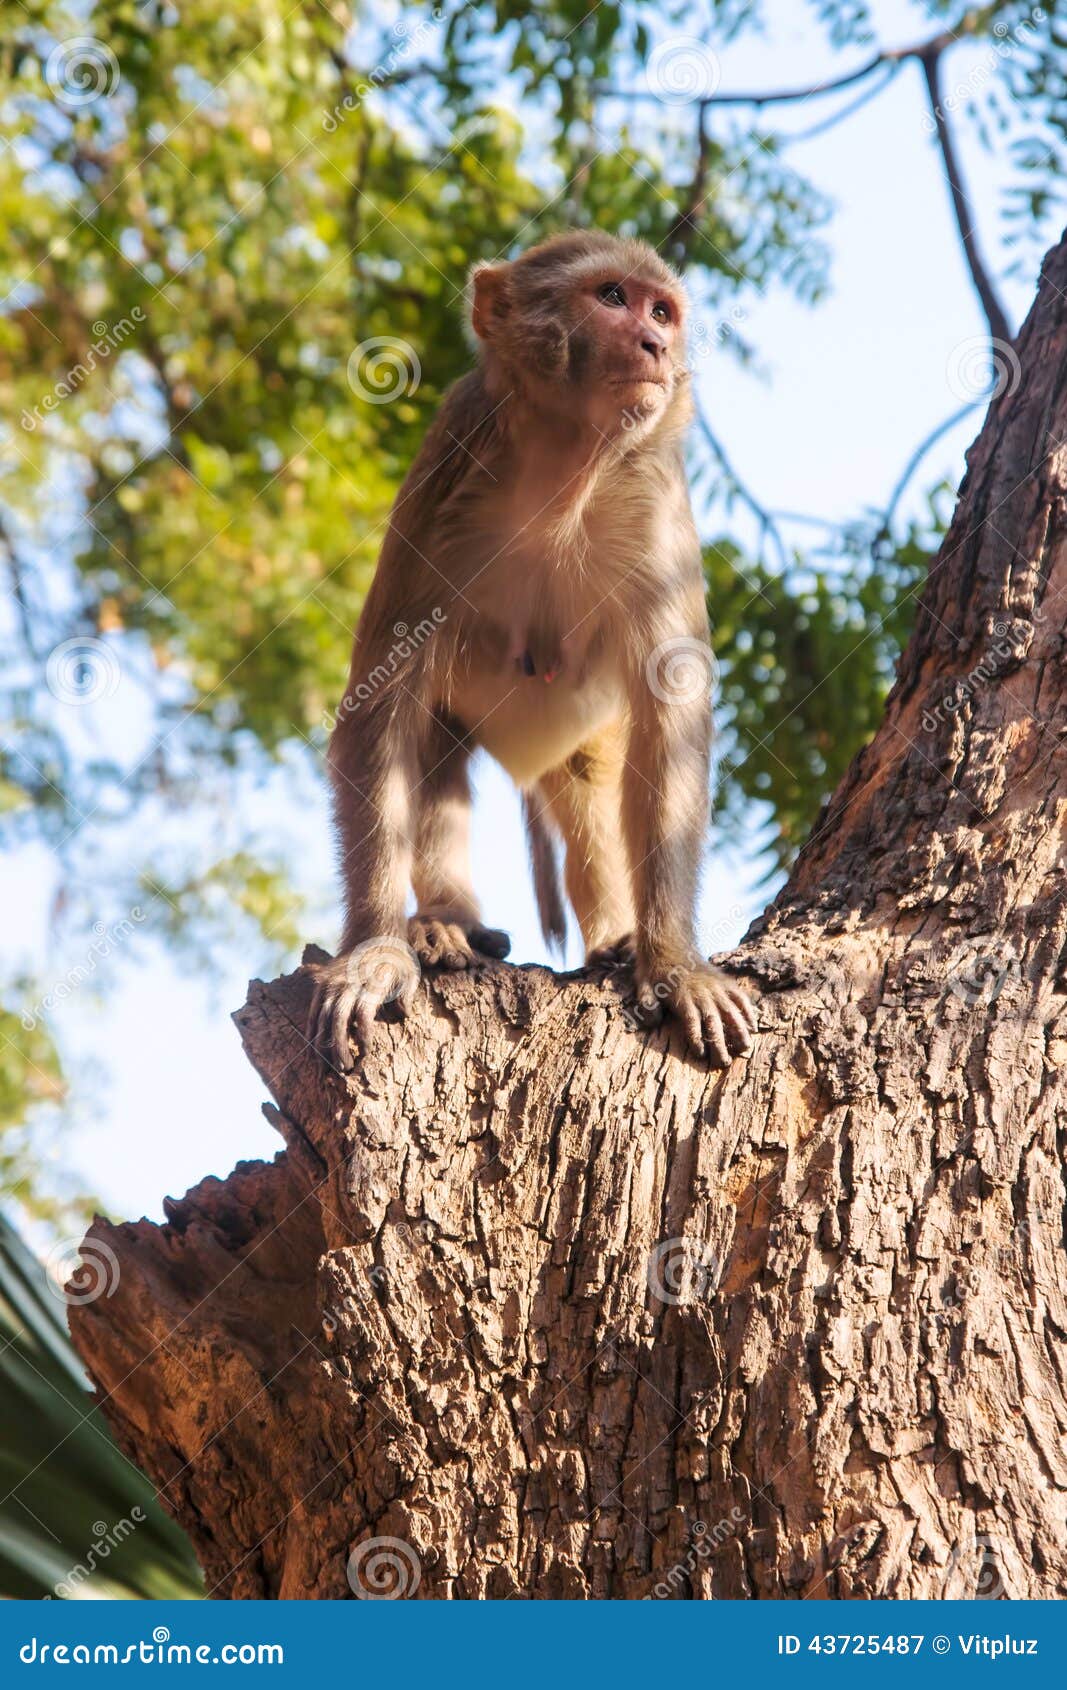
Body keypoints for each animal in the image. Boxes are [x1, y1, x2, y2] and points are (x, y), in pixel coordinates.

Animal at [308, 229, 758, 1070]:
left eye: (661, 311)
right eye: (611, 297)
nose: (655, 344)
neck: (562, 475)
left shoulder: (657, 509)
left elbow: (669, 727)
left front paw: (675, 964)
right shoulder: (444, 474)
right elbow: (379, 707)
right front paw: (376, 951)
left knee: (589, 779)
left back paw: (614, 934)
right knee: (432, 754)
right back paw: (443, 920)